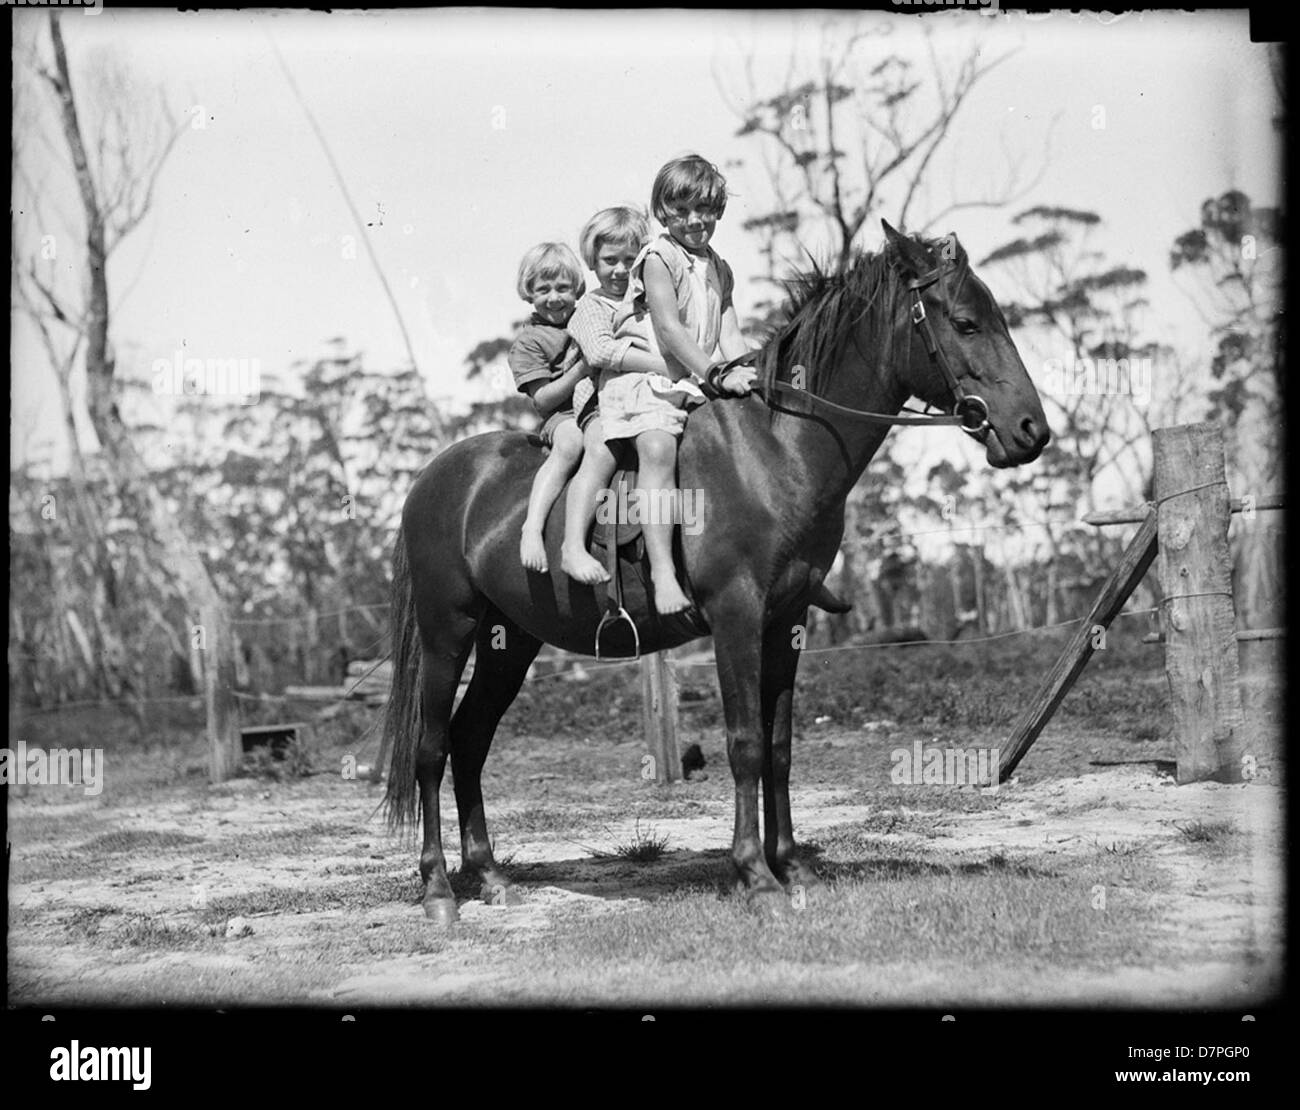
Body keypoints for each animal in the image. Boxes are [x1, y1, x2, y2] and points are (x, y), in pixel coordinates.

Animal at [382, 221, 1049, 925]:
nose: (1031, 430)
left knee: (469, 741)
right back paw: (438, 889)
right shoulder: (736, 615)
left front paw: (792, 866)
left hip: (509, 642)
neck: (775, 448)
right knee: (431, 748)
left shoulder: (786, 622)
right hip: (447, 633)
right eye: (966, 322)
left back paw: (487, 875)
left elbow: (779, 747)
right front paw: (756, 875)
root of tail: (431, 480)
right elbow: (745, 744)